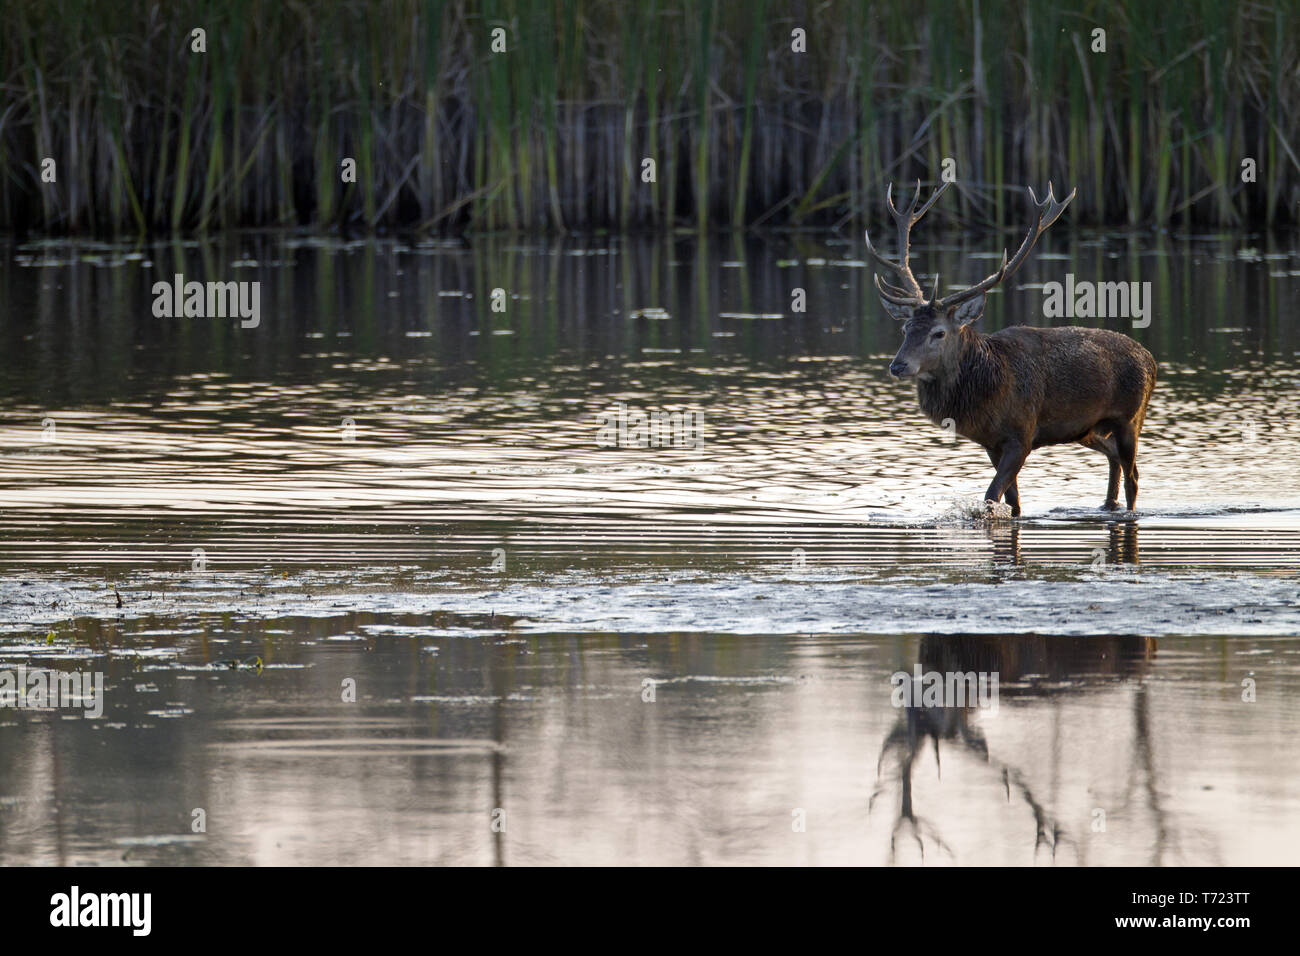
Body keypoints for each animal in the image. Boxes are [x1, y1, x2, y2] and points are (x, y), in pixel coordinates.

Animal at [866, 181, 1157, 517]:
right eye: (905, 329)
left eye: (938, 333)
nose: (898, 365)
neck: (987, 391)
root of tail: (1151, 360)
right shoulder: (992, 443)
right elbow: (1013, 502)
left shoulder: (1022, 434)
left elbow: (992, 495)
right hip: (1088, 429)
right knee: (1113, 458)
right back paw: (1107, 505)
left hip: (1130, 418)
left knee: (1133, 475)